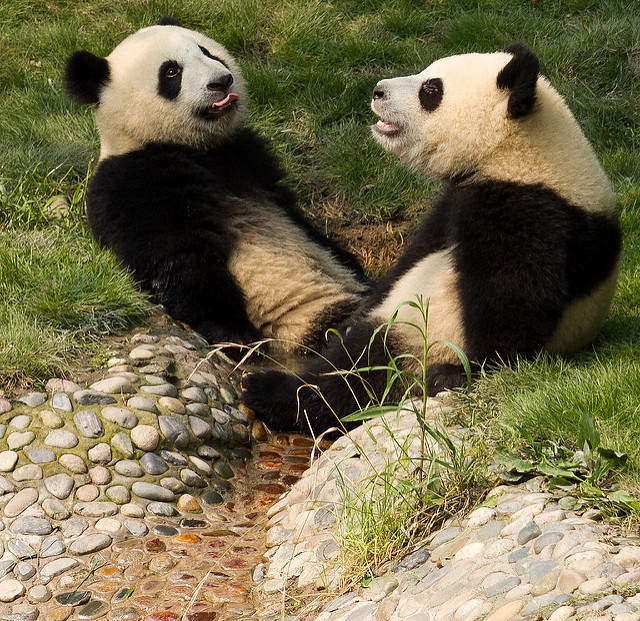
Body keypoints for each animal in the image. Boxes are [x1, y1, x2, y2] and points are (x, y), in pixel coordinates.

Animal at [63, 18, 369, 356]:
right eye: (171, 72)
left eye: (207, 52)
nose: (222, 81)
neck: (191, 148)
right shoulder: (133, 183)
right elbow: (178, 256)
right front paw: (234, 332)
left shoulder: (246, 158)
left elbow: (298, 218)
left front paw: (351, 262)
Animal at [242, 42, 622, 434]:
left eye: (431, 91)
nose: (377, 91)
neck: (519, 152)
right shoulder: (457, 198)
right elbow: (419, 248)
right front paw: (349, 319)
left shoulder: (534, 211)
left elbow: (514, 302)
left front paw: (459, 374)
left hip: (420, 335)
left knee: (366, 369)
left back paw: (272, 391)